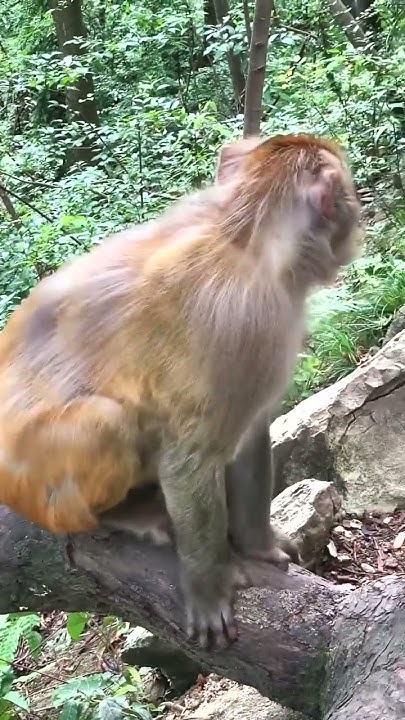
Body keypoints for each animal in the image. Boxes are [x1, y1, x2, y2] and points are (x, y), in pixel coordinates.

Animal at [0, 133, 363, 648]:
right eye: (347, 193)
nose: (359, 215)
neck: (243, 234)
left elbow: (249, 436)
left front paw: (260, 544)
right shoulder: (252, 324)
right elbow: (192, 461)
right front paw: (208, 585)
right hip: (33, 482)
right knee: (105, 422)